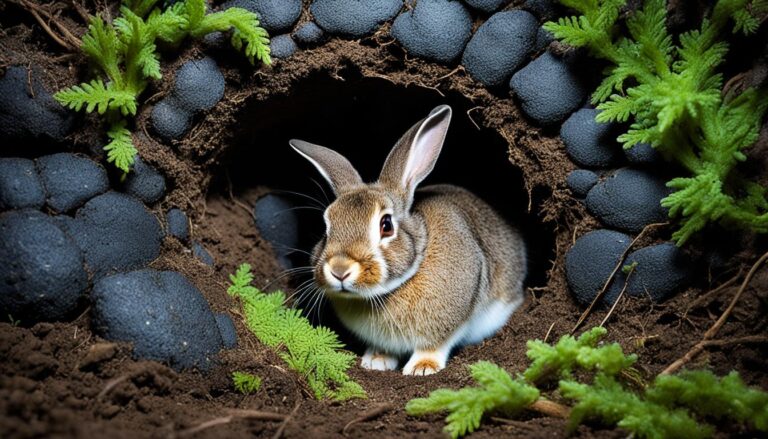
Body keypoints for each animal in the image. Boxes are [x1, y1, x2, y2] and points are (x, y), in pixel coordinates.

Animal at [288, 105, 527, 375]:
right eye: (326, 228)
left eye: (386, 225)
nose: (339, 270)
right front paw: (376, 361)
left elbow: (435, 345)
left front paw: (422, 368)